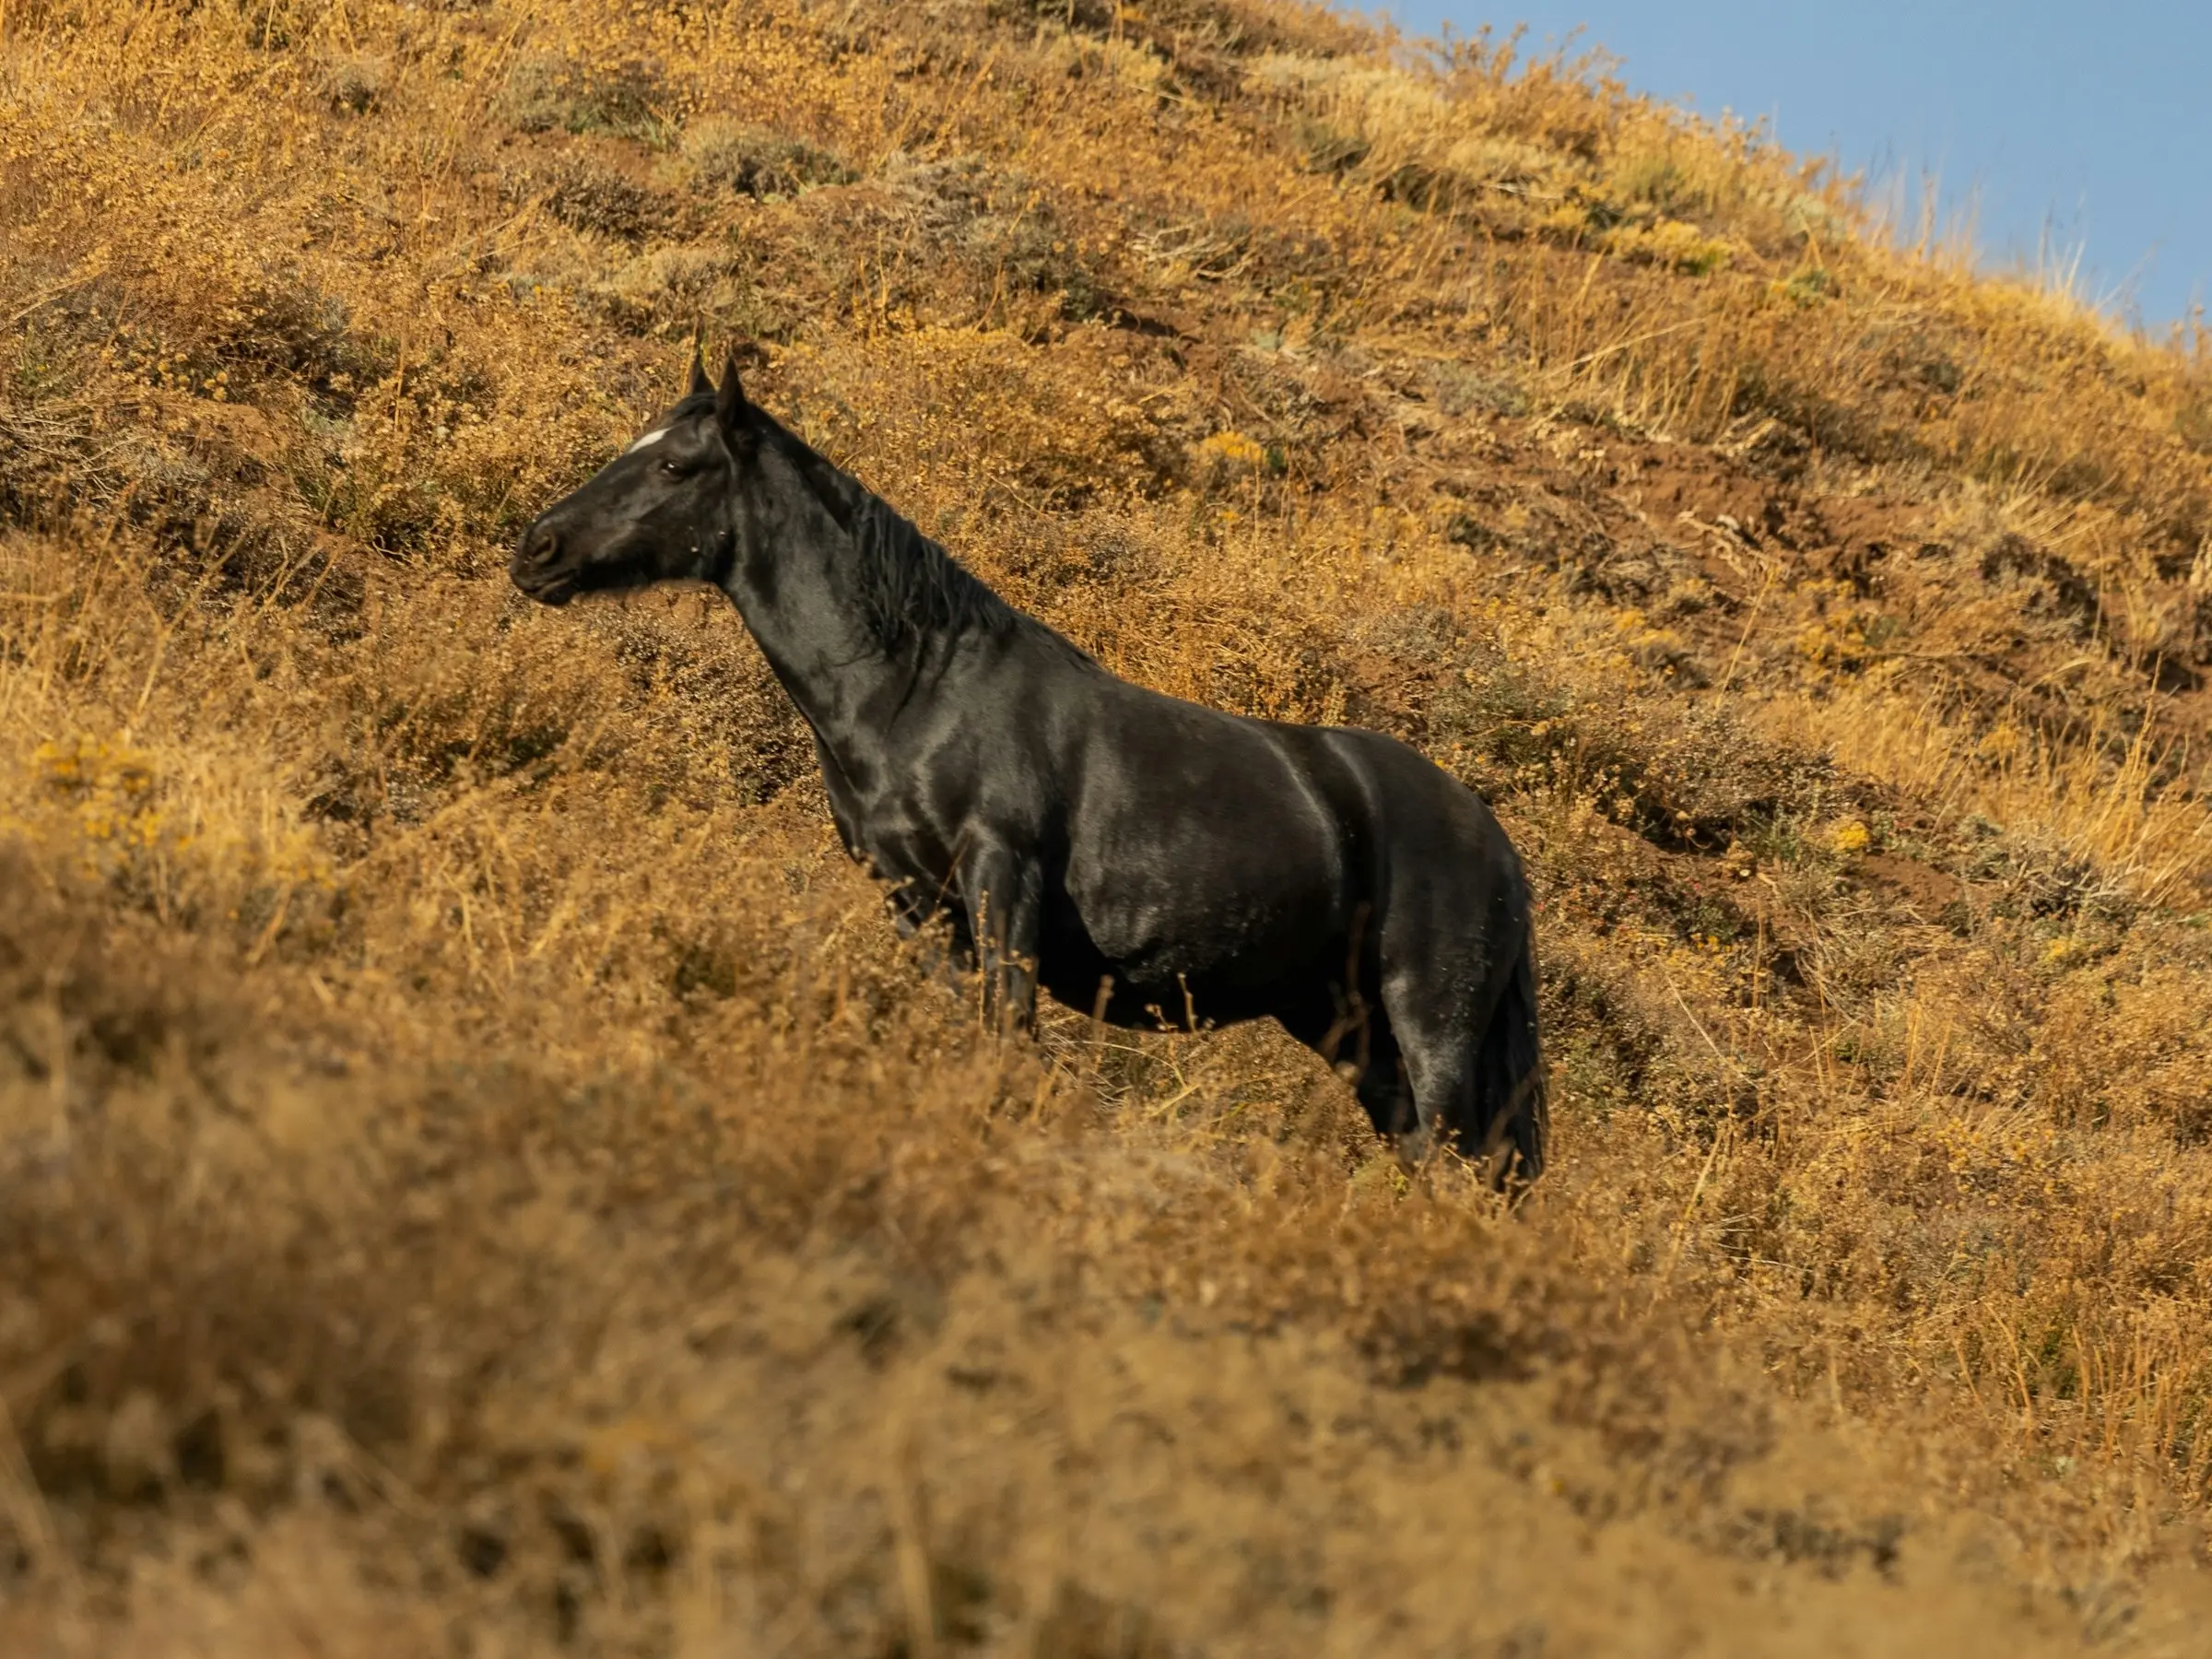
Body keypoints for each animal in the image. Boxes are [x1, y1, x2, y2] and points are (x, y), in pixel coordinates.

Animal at [512, 350, 1547, 1182]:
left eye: (675, 463)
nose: (537, 550)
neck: (916, 689)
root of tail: (1492, 840)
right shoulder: (913, 904)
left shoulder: (998, 880)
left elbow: (1007, 1036)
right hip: (1346, 1026)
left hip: (1429, 1021)